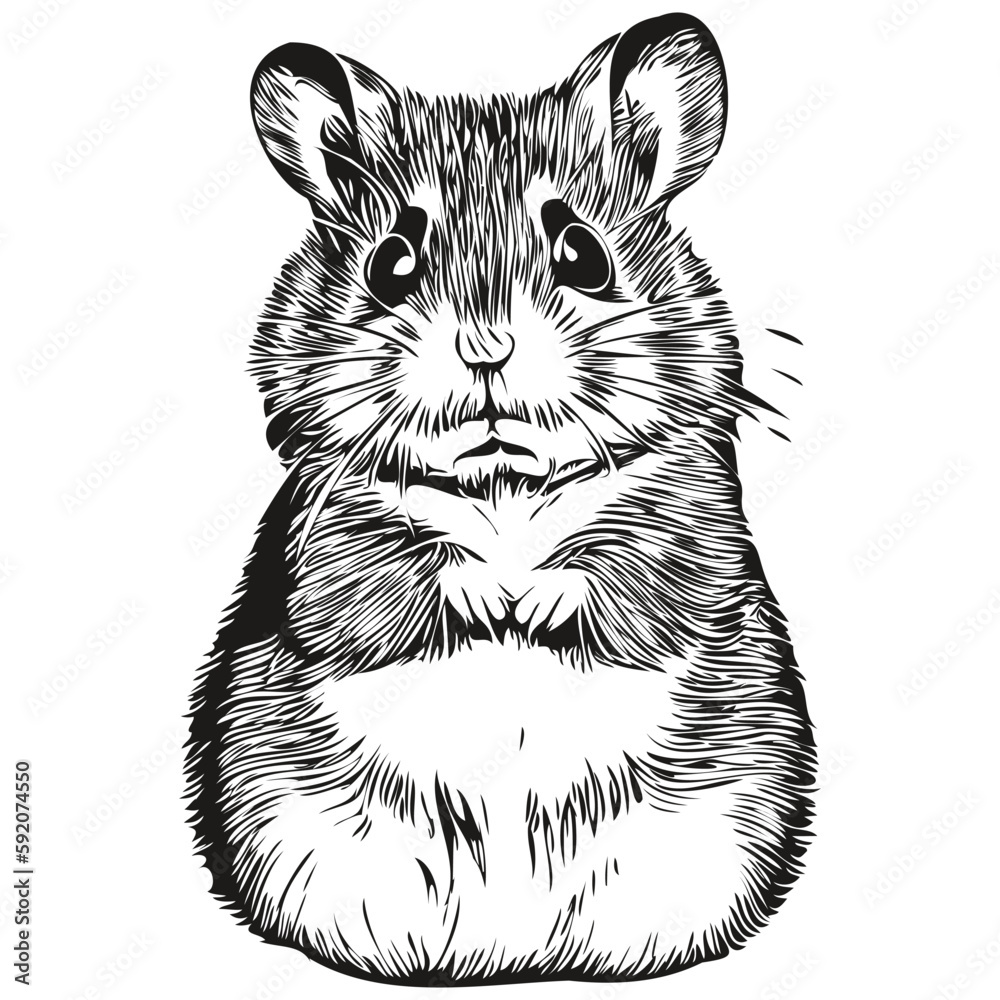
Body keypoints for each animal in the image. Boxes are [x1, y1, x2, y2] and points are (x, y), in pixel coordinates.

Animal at [186, 12, 815, 985]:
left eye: (582, 254)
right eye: (391, 260)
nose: (485, 348)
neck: (503, 487)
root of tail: (511, 956)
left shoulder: (689, 526)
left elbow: (620, 580)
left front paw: (533, 604)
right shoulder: (329, 544)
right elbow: (399, 582)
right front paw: (496, 600)